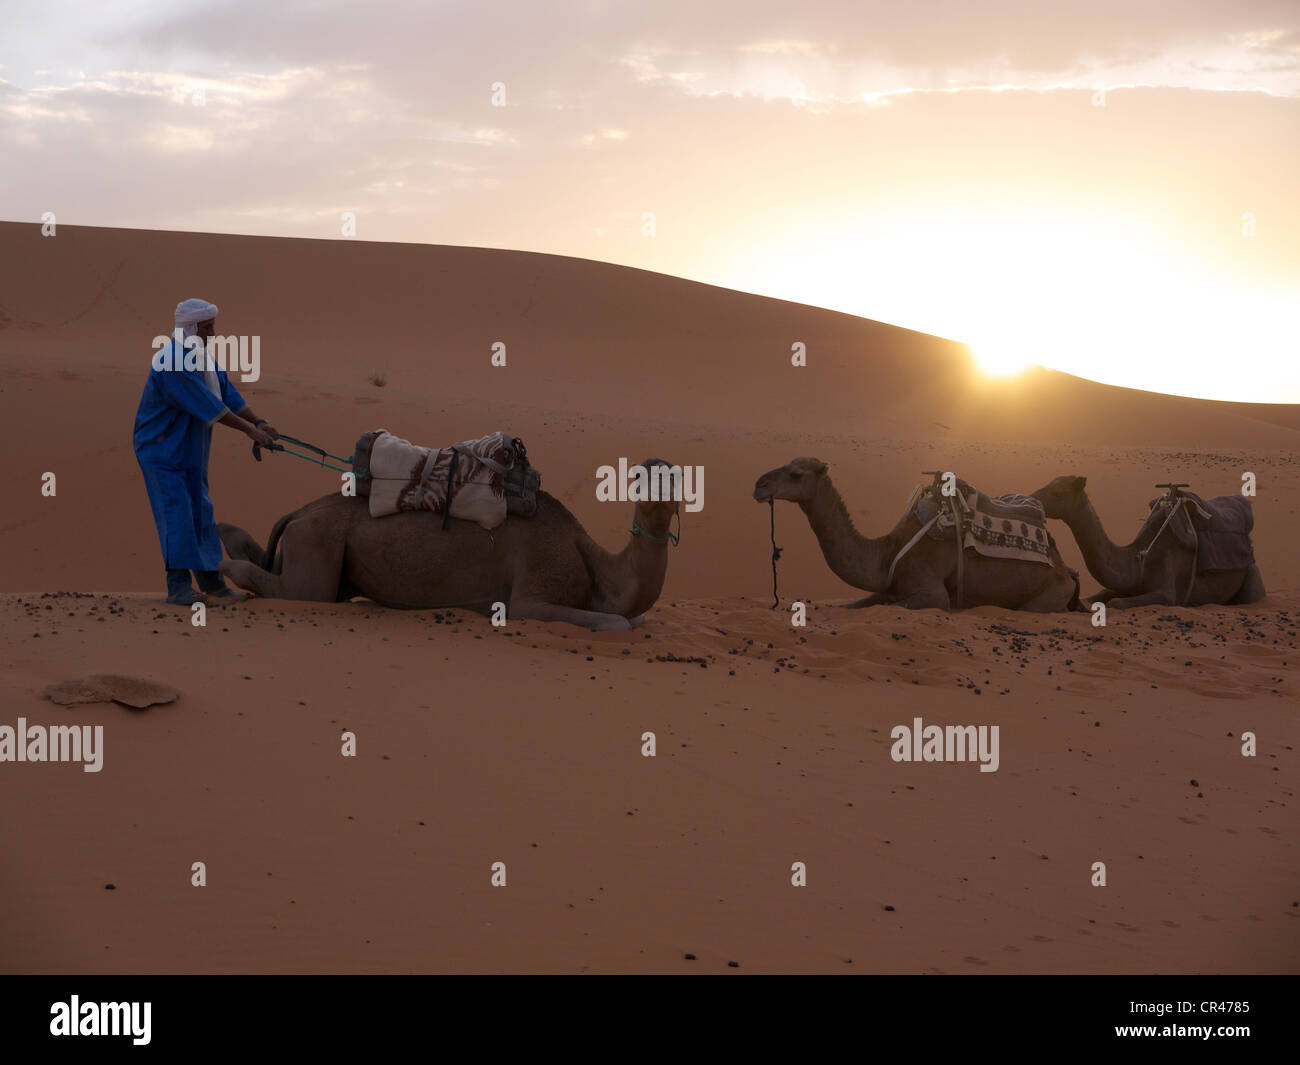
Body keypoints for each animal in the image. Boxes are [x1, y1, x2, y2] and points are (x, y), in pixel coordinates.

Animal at [217, 458, 680, 631]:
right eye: (640, 475)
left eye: (676, 474)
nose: (660, 490)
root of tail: (300, 509)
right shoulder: (530, 597)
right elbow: (618, 622)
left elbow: (634, 619)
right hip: (318, 540)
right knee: (300, 590)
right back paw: (221, 572)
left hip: (313, 541)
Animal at [753, 458, 1080, 611]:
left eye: (796, 474)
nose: (759, 484)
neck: (888, 551)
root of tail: (1067, 570)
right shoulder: (888, 587)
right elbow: (856, 605)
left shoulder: (932, 592)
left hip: (1048, 596)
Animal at [1031, 476, 1265, 609]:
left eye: (1058, 492)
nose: (1032, 497)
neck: (1138, 561)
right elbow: (1100, 596)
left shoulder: (1168, 592)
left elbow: (1117, 603)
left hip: (1251, 574)